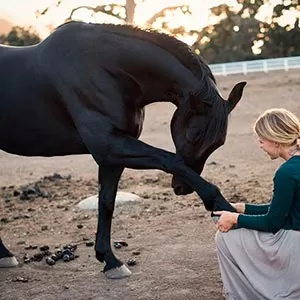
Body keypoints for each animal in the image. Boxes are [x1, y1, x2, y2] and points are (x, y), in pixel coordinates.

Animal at [0, 21, 246, 278]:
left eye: (218, 144)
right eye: (194, 135)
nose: (182, 188)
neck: (104, 69)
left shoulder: (112, 158)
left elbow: (107, 202)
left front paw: (110, 260)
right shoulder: (109, 145)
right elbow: (171, 160)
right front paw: (223, 206)